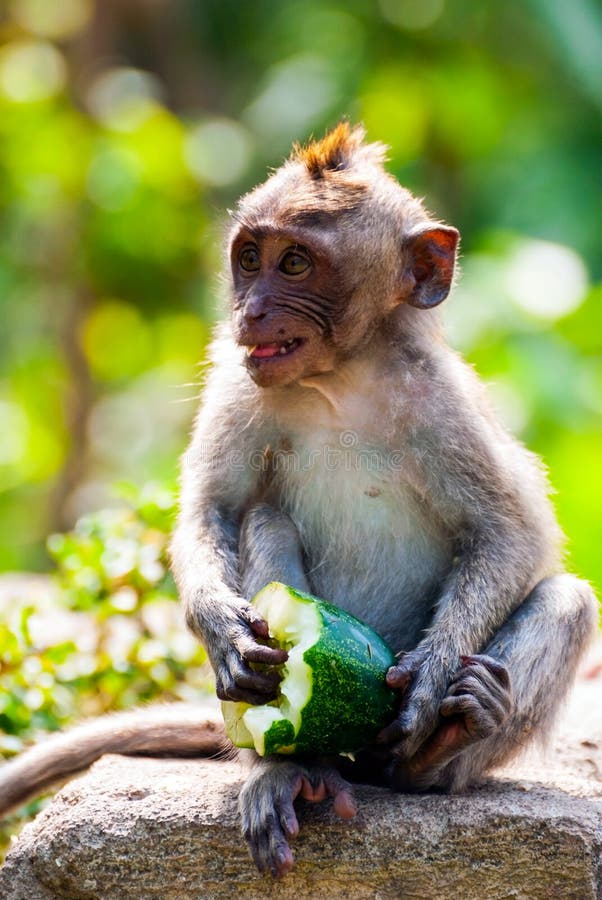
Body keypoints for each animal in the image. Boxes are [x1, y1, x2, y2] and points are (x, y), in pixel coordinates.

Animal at [0, 123, 597, 880]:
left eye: (294, 264)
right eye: (250, 258)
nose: (250, 310)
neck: (339, 379)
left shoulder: (444, 403)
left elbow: (513, 534)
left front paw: (431, 681)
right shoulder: (237, 380)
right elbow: (214, 509)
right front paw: (222, 629)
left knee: (567, 602)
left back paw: (442, 745)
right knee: (263, 518)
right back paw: (288, 767)